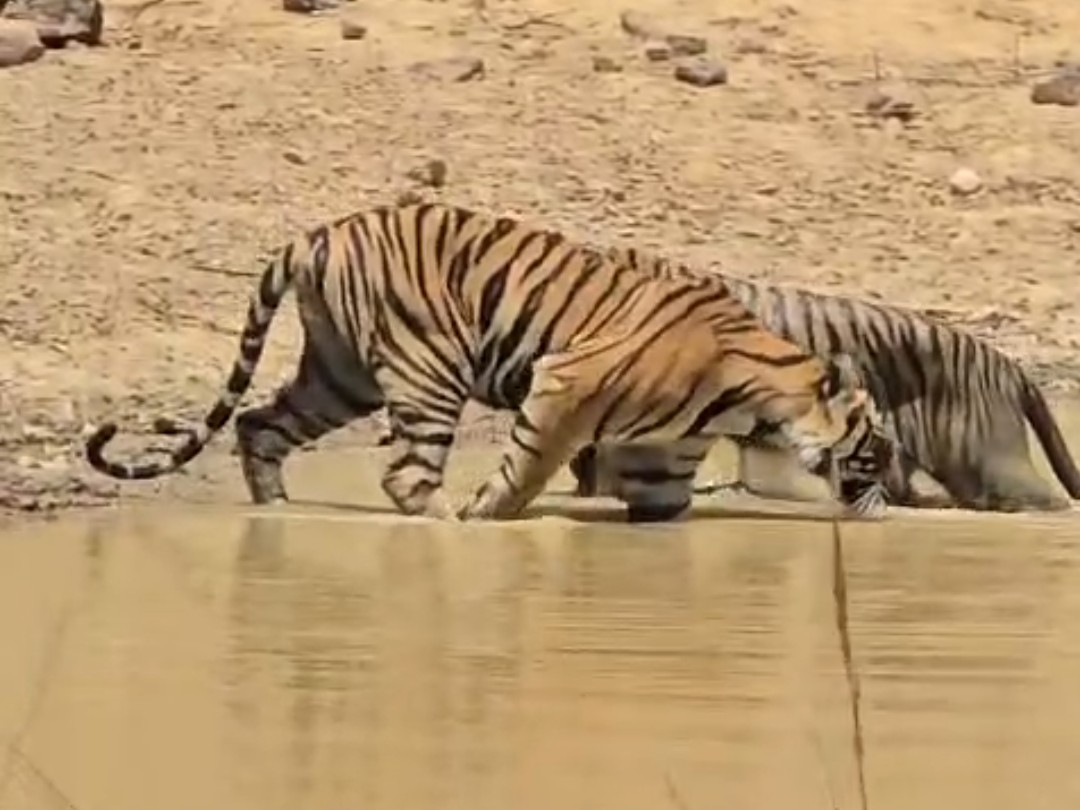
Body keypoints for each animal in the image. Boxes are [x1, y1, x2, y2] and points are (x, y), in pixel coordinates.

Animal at [84, 201, 894, 522]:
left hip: (340, 376)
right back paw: (449, 524)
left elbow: (665, 505)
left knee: (258, 424)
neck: (754, 399)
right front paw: (493, 511)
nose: (885, 500)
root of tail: (320, 232)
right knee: (406, 476)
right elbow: (530, 464)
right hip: (427, 369)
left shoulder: (662, 450)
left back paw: (278, 511)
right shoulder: (565, 383)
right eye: (877, 450)